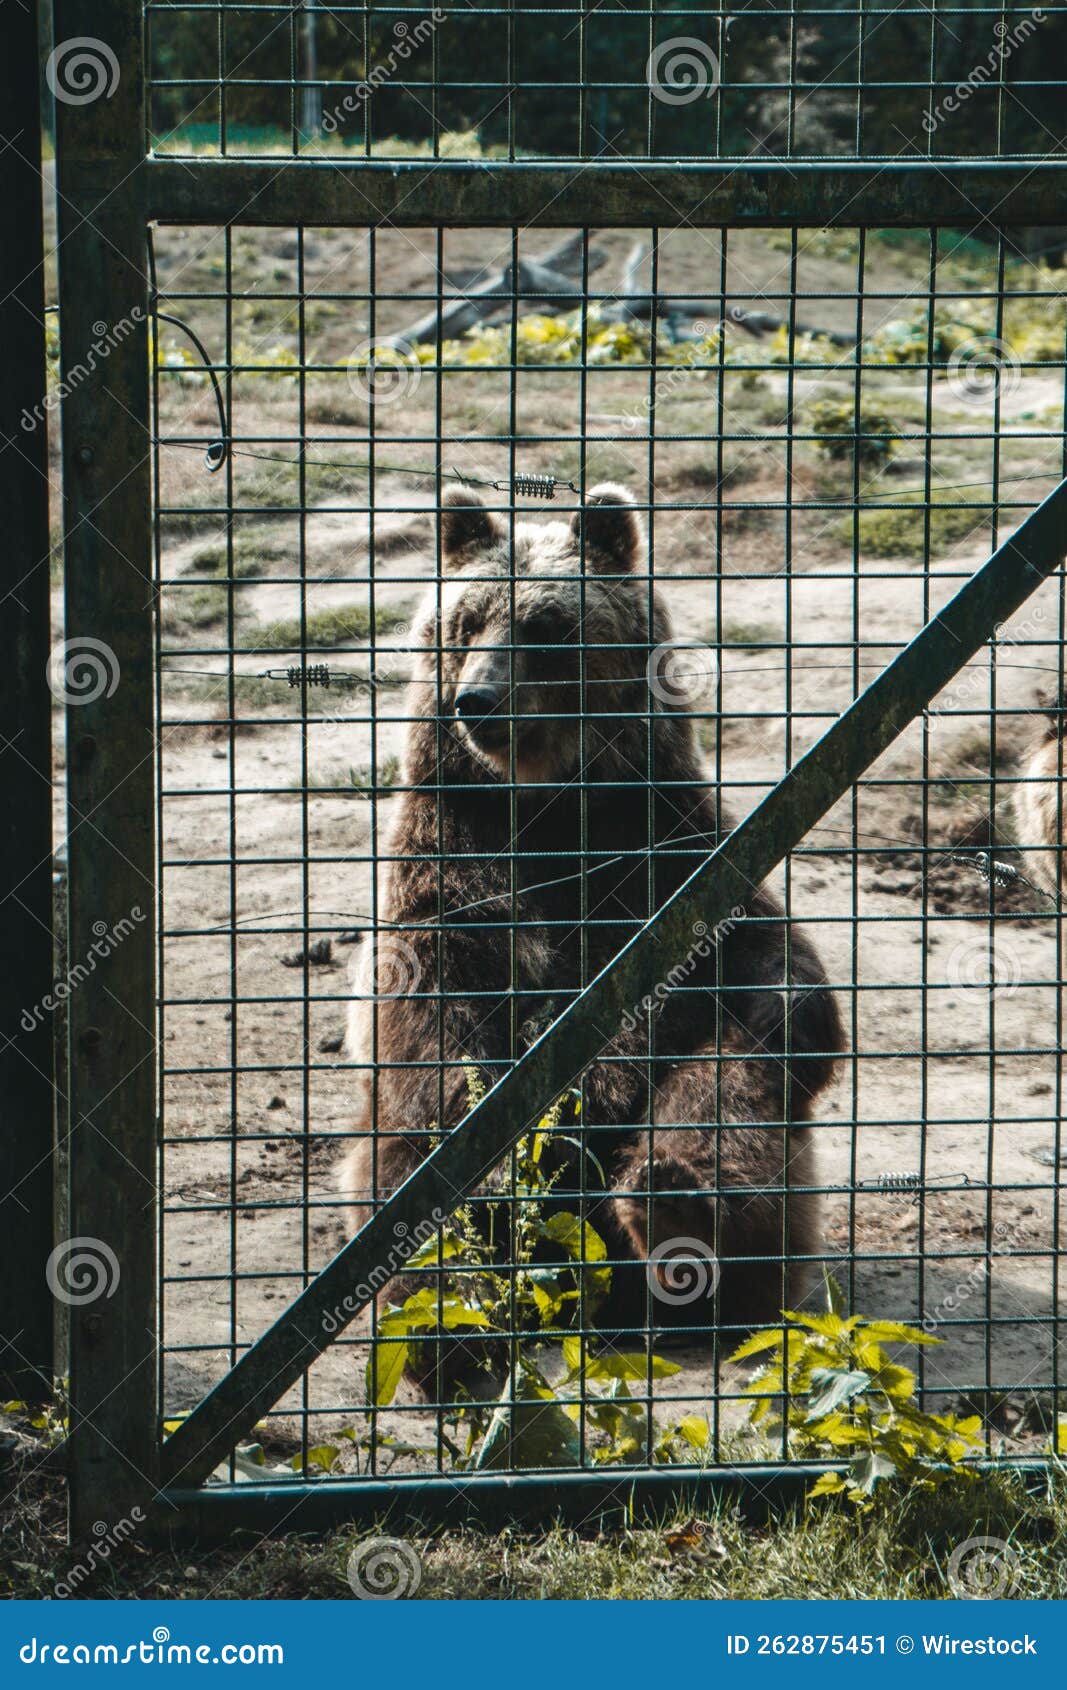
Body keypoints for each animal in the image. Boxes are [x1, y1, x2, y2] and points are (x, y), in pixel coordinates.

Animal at [339, 483, 844, 1382]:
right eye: (466, 622)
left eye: (545, 626)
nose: (477, 702)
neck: (547, 806)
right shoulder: (453, 869)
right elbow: (431, 1019)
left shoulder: (666, 851)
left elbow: (768, 981)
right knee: (410, 1209)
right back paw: (449, 1331)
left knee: (726, 1117)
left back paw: (683, 1227)